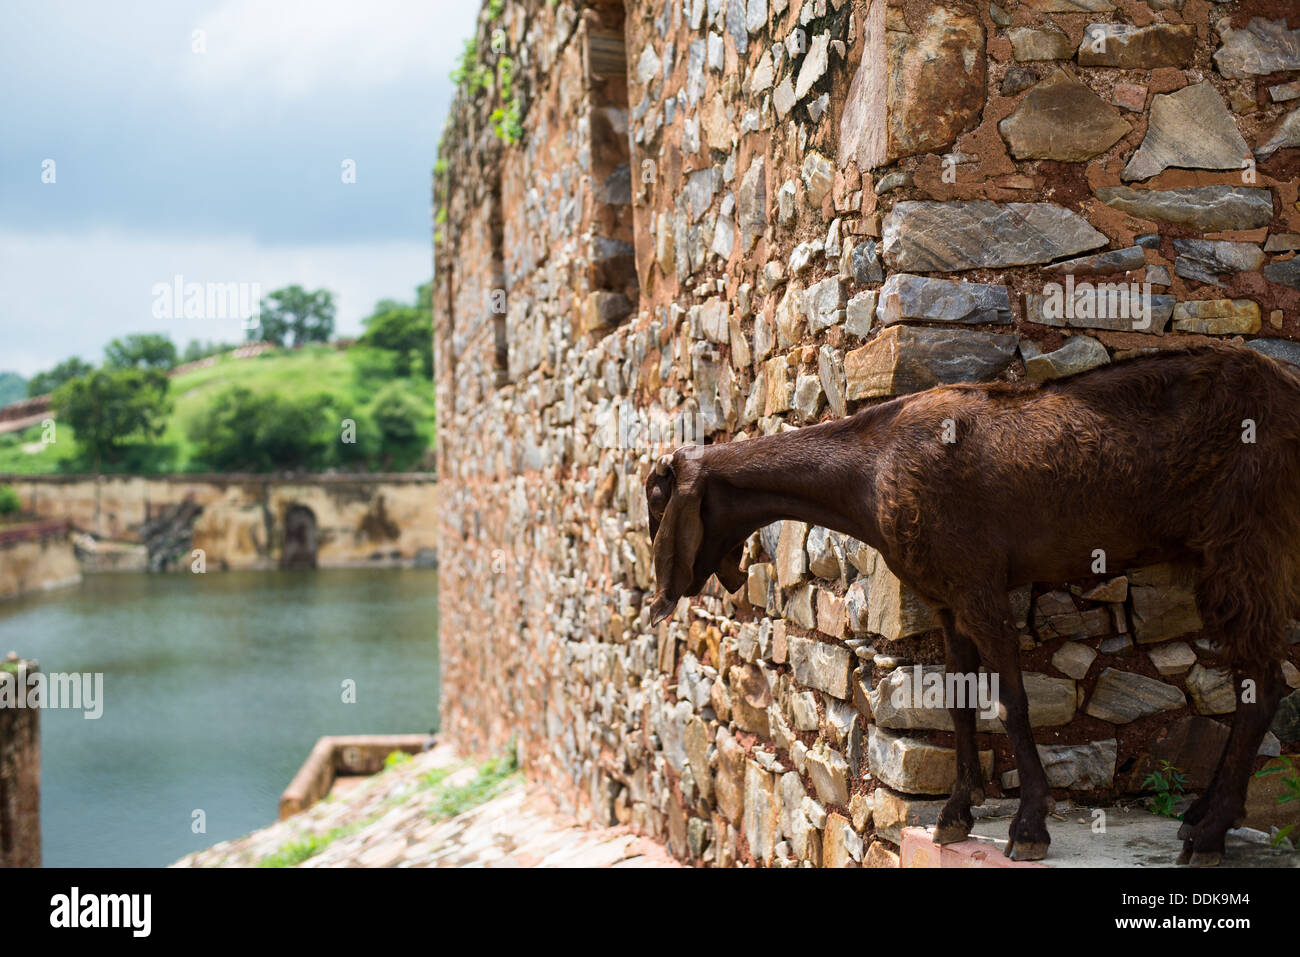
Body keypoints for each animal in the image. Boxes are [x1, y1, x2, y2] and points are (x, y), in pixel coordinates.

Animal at [645, 340, 1300, 865]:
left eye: (656, 500)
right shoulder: (944, 601)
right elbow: (959, 703)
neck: (869, 470)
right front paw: (955, 812)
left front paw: (1029, 825)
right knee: (1252, 684)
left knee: (1265, 684)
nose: (656, 600)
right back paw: (1201, 817)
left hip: (1244, 546)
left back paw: (1209, 833)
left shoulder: (979, 587)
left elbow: (1011, 700)